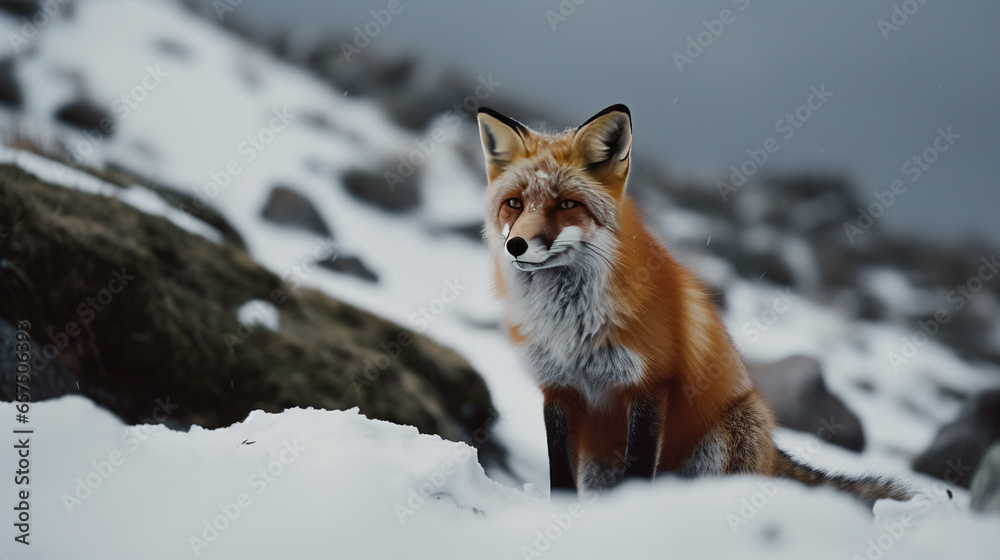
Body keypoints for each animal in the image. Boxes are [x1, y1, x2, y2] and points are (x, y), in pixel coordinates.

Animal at [476, 104, 911, 506]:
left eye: (567, 205)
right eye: (515, 203)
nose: (517, 245)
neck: (571, 328)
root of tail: (774, 454)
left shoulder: (650, 384)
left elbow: (638, 472)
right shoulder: (559, 390)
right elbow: (560, 479)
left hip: (731, 433)